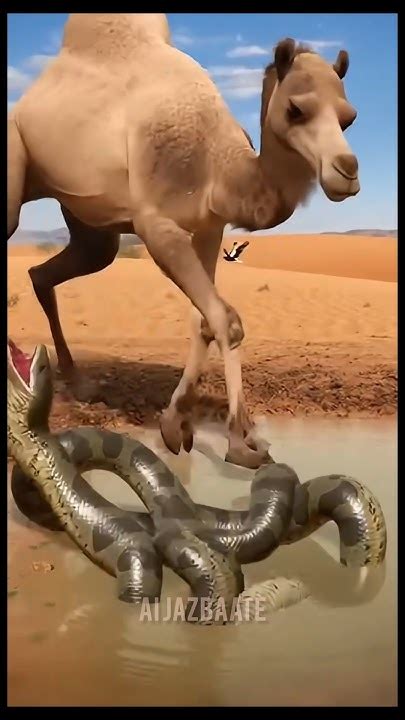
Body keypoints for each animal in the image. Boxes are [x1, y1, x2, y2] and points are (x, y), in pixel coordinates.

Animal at [7, 13, 360, 469]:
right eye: (296, 109)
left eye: (349, 117)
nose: (347, 171)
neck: (220, 166)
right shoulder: (156, 224)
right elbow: (226, 320)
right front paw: (240, 442)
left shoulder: (210, 226)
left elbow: (204, 320)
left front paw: (179, 425)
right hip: (16, 159)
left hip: (87, 221)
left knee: (48, 271)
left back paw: (76, 381)